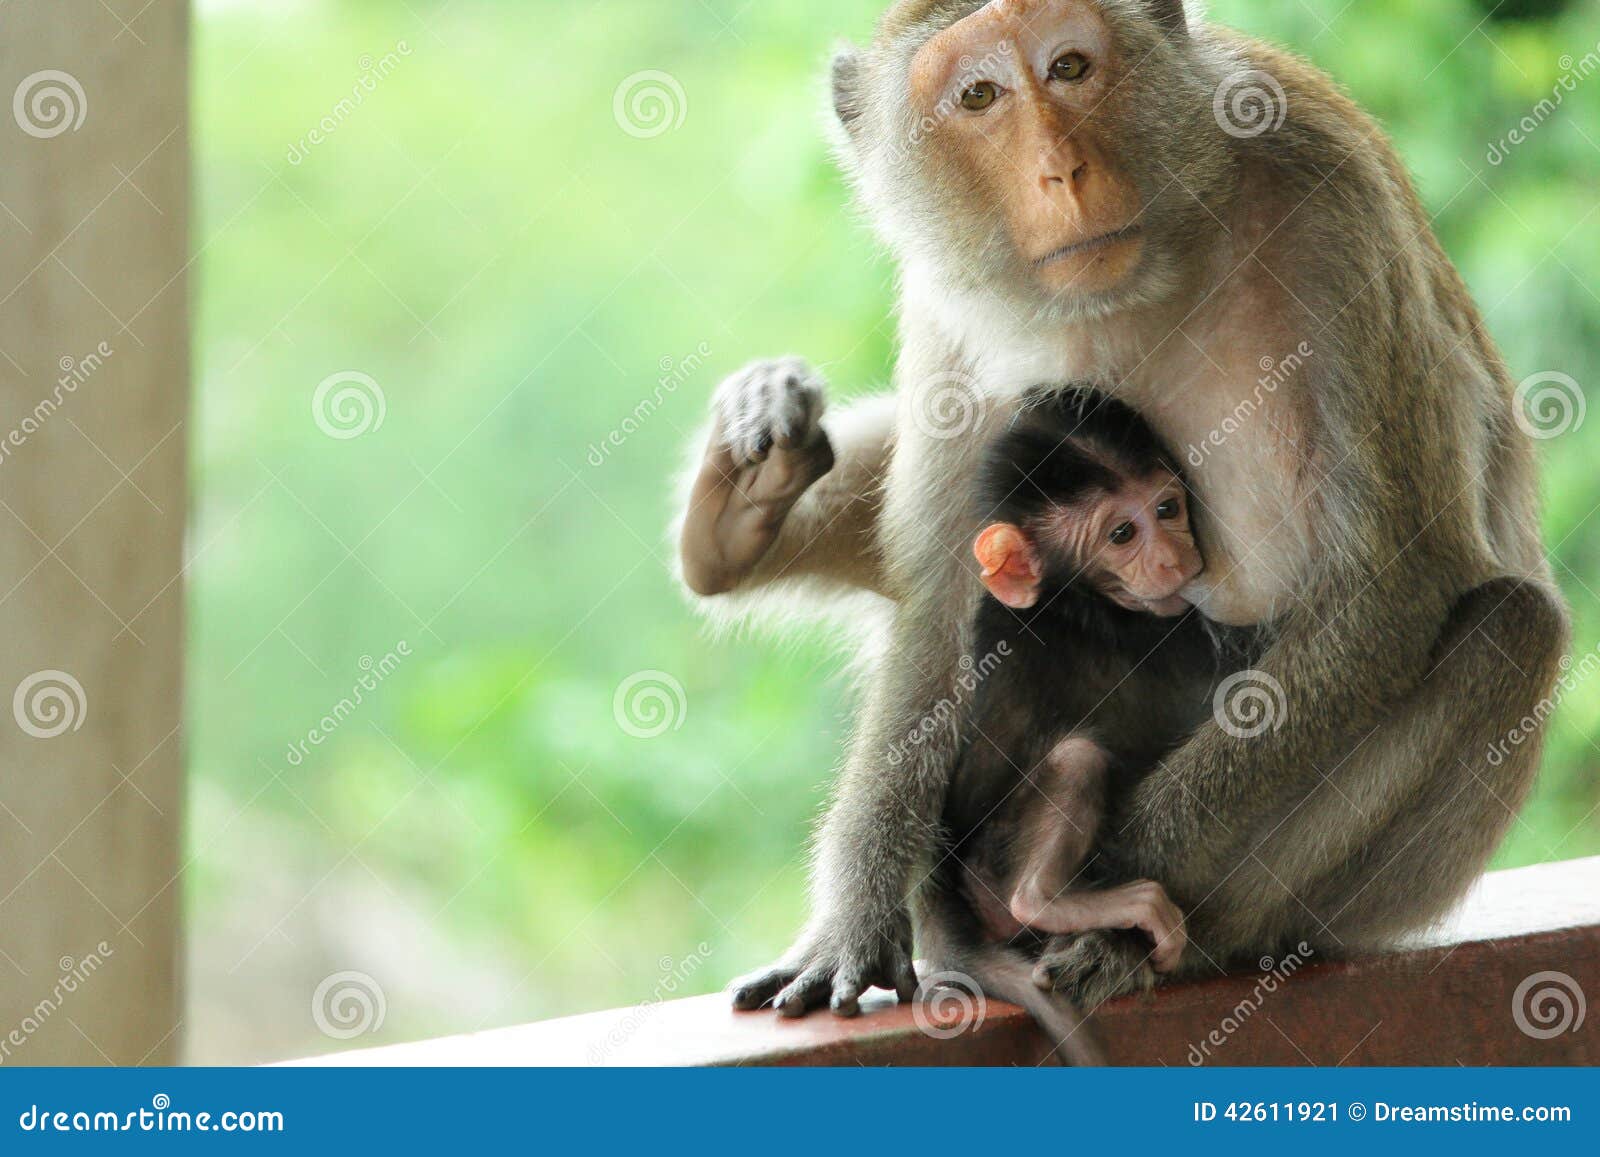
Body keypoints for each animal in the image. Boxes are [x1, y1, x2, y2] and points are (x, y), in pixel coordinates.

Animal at [678, 0, 1568, 1023]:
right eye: (977, 96)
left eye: (1069, 66)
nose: (1060, 170)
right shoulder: (944, 294)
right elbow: (941, 599)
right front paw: (855, 923)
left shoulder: (1331, 189)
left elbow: (1388, 587)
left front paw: (1070, 891)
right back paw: (734, 519)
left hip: (1356, 896)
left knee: (1508, 632)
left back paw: (1130, 936)